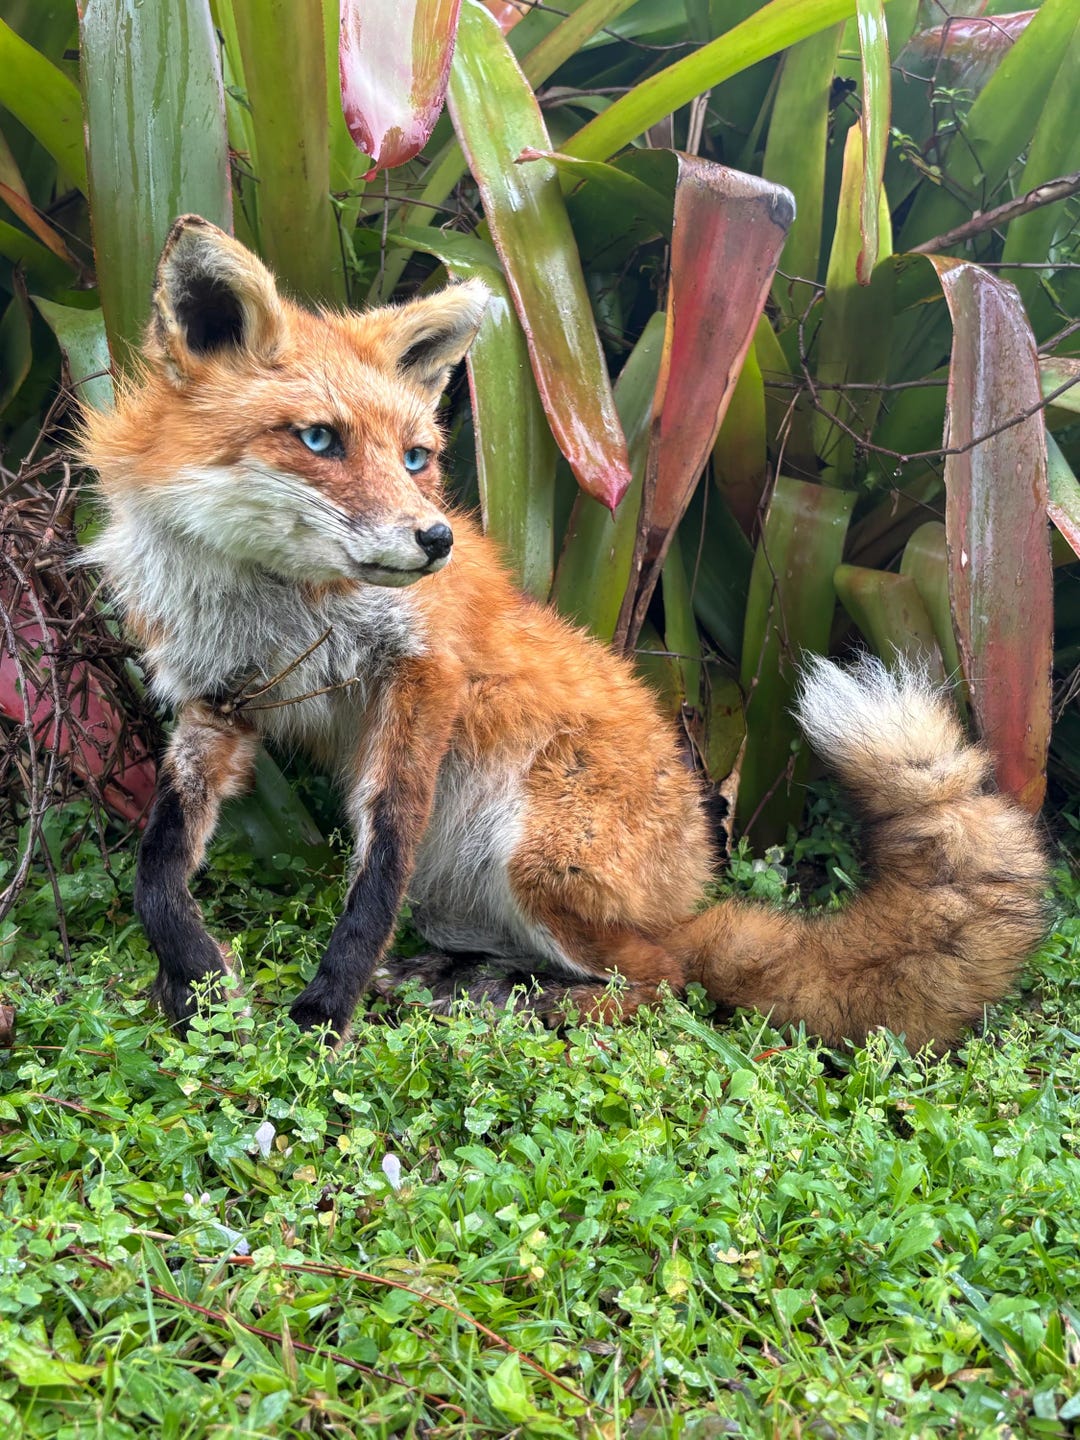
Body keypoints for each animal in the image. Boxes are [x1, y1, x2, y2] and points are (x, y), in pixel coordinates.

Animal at [79, 214, 1048, 1054]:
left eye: (416, 458)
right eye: (319, 439)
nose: (436, 541)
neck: (271, 599)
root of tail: (690, 890)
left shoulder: (424, 671)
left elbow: (381, 861)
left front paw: (325, 1011)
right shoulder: (217, 698)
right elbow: (158, 867)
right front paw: (194, 980)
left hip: (542, 865)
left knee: (666, 979)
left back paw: (537, 1006)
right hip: (476, 888)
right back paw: (460, 981)